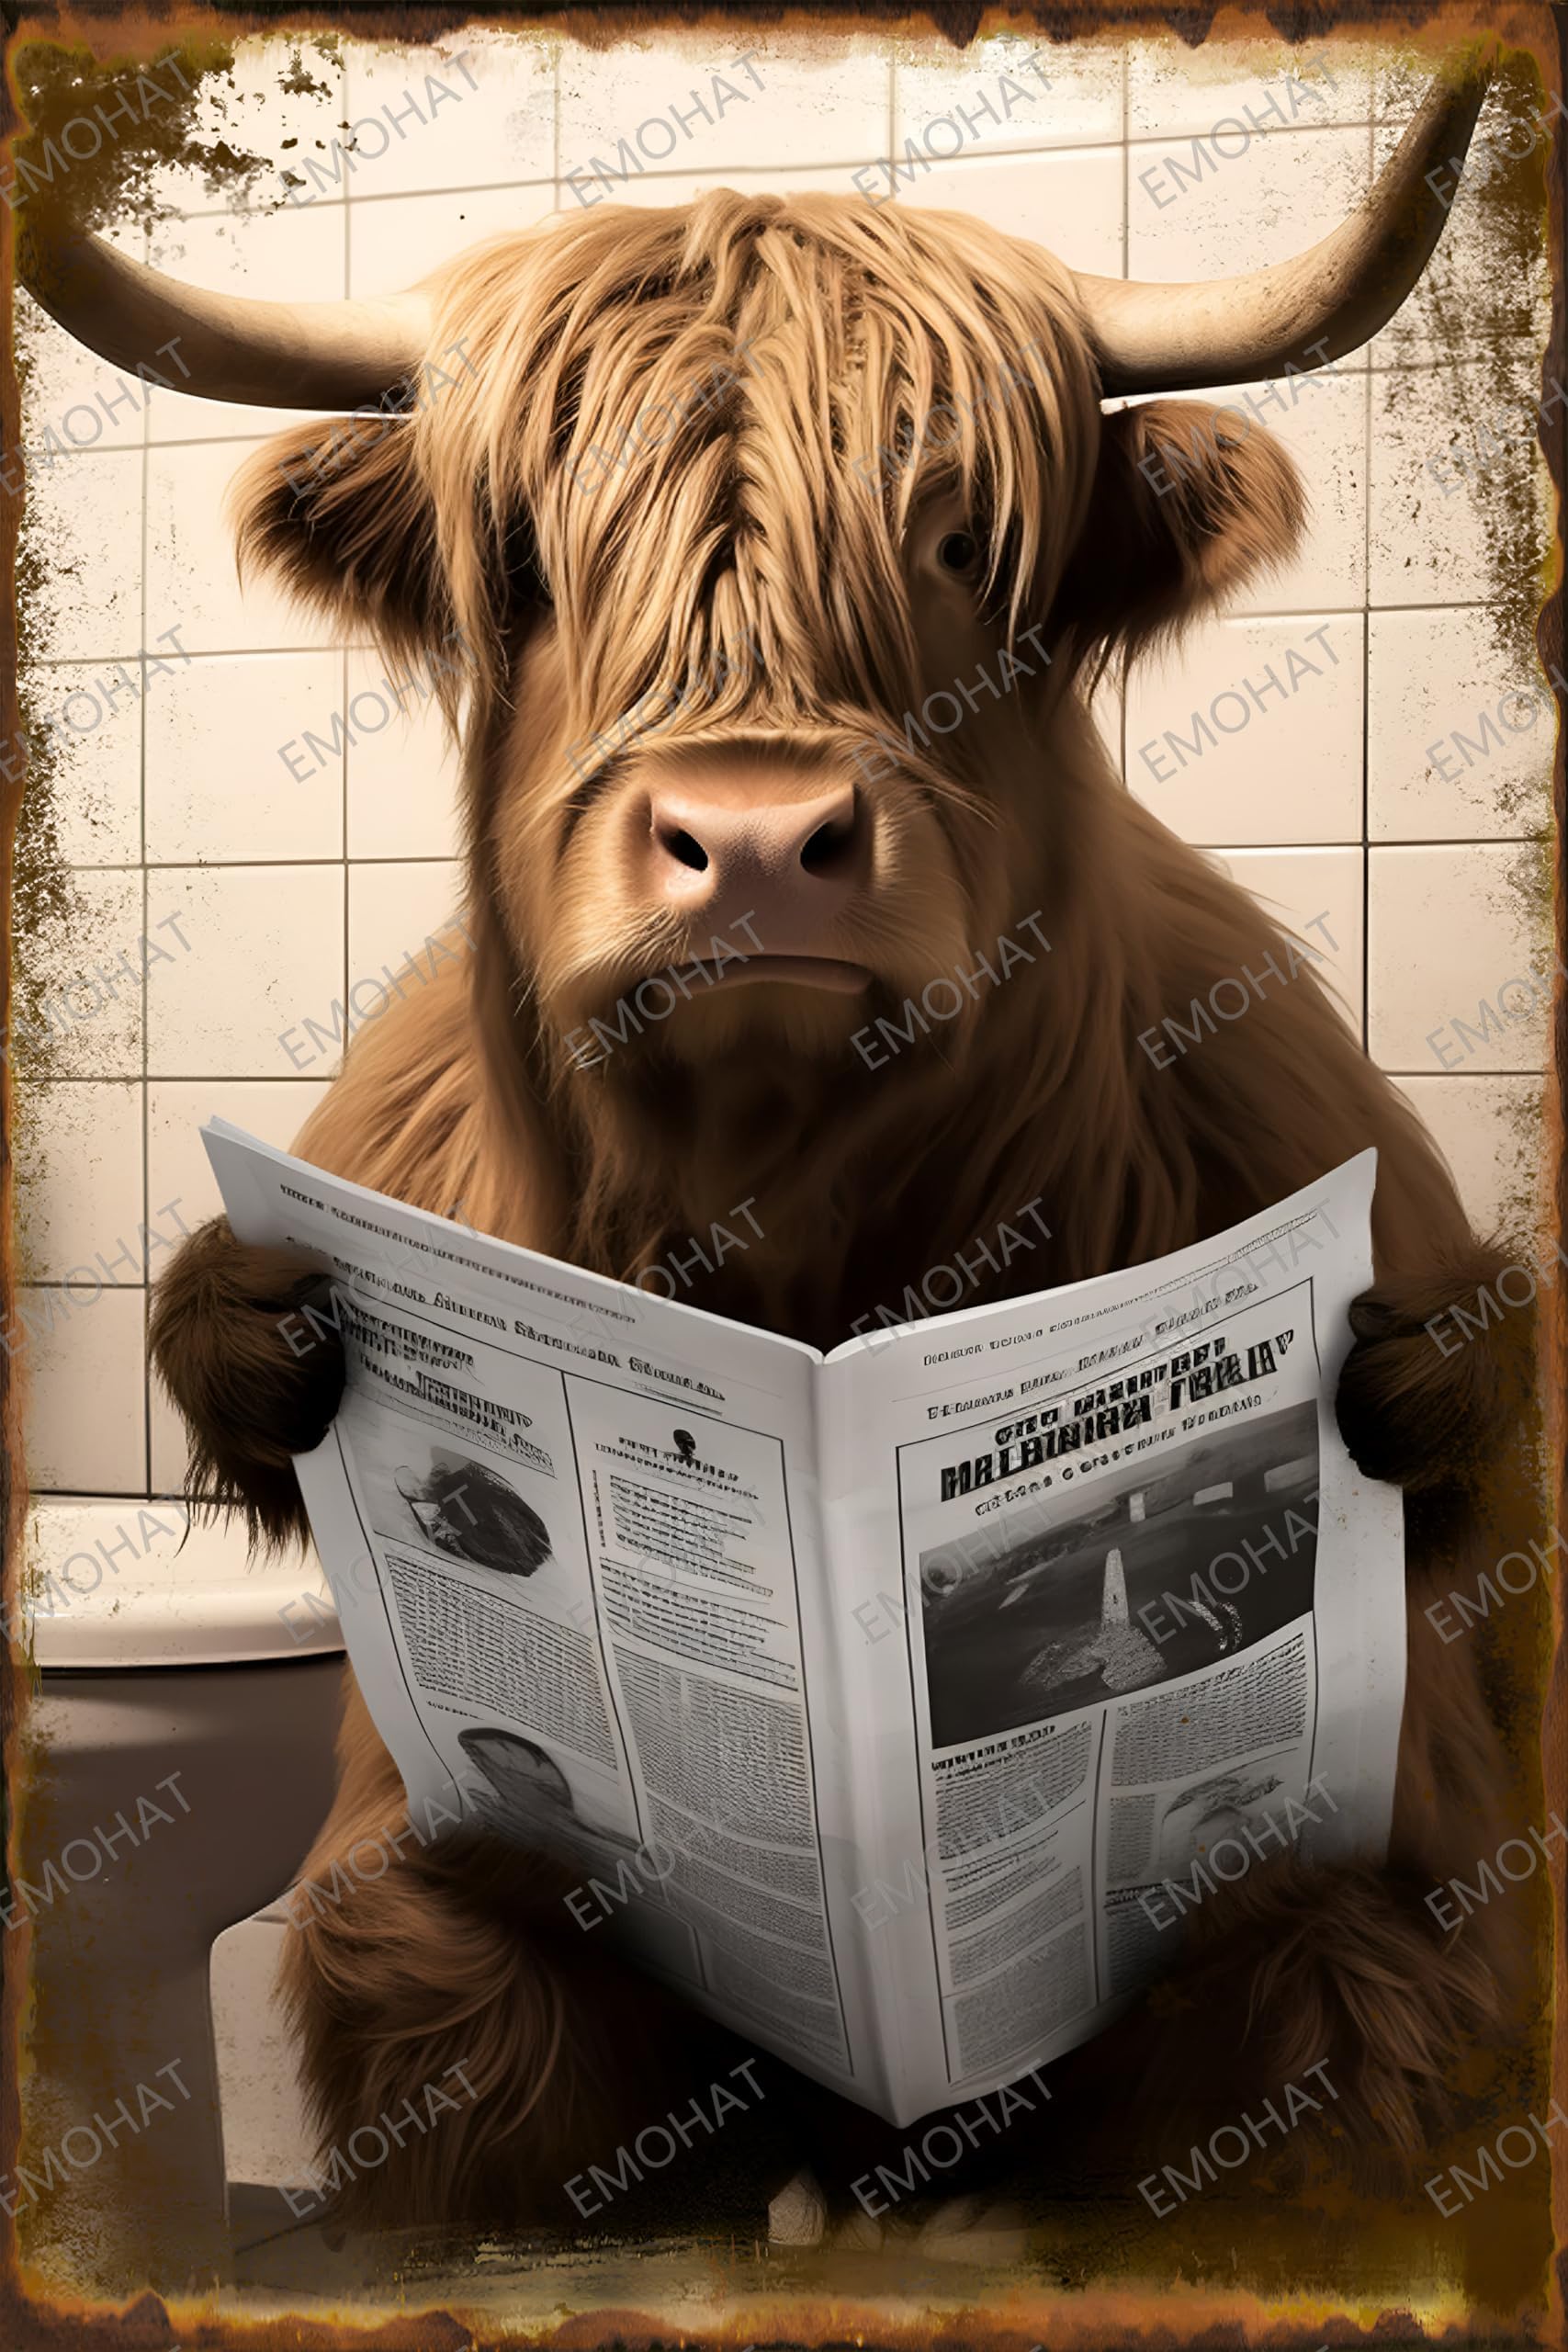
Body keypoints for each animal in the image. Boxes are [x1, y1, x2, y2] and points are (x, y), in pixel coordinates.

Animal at [18, 54, 1544, 2233]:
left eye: (963, 536)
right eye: (526, 564)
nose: (747, 841)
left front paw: (1395, 1373)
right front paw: (264, 1322)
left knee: (1315, 1994)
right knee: (440, 1968)